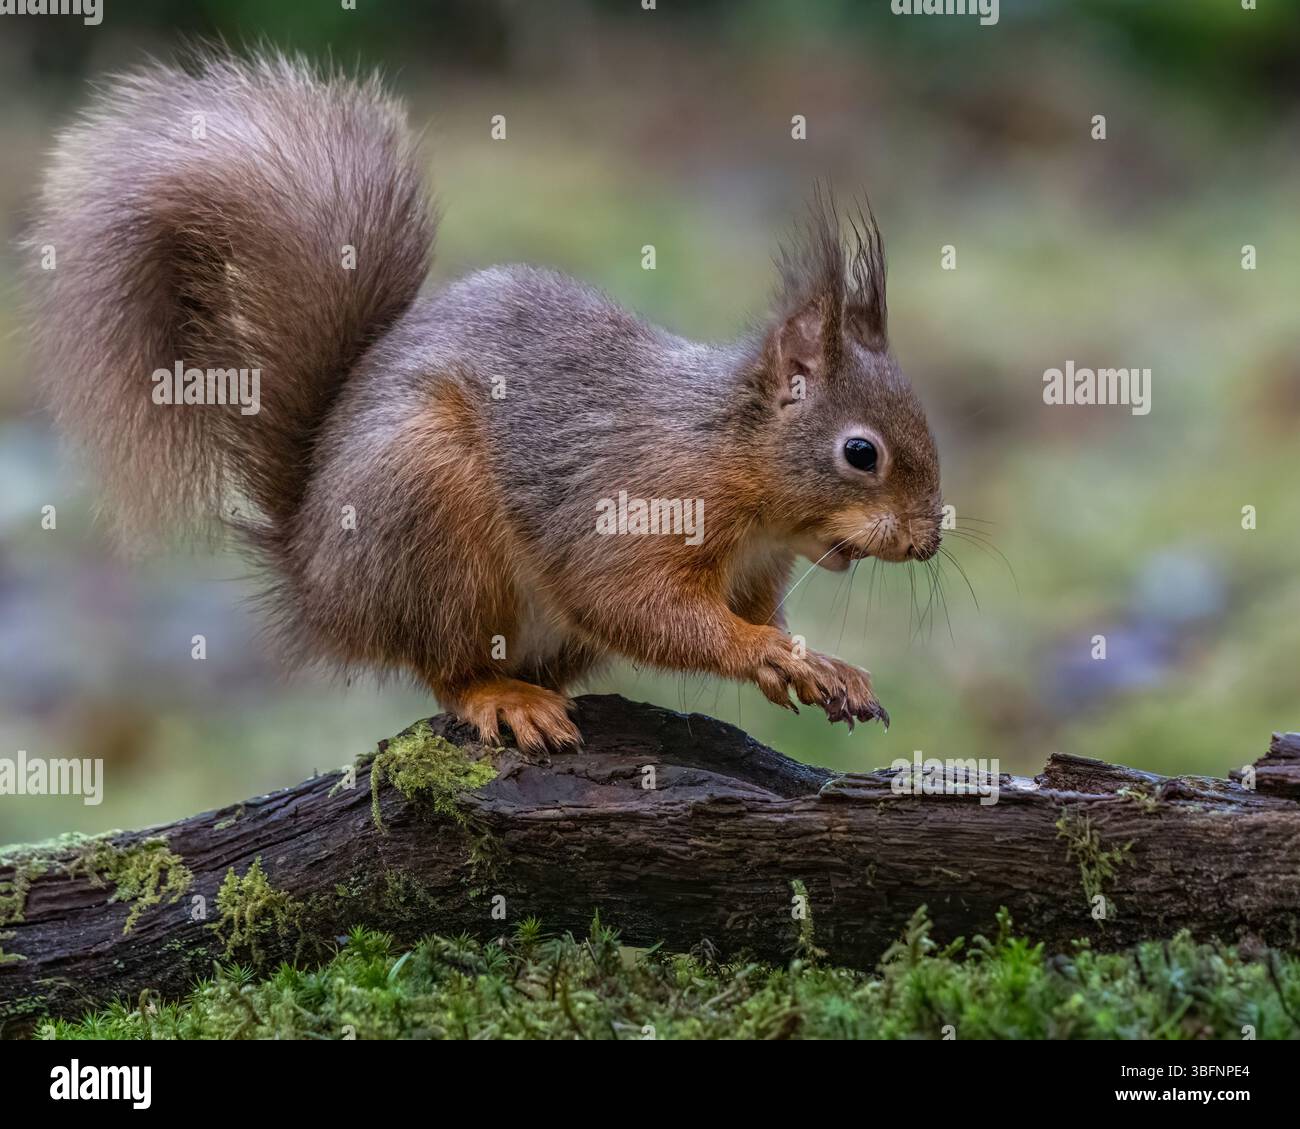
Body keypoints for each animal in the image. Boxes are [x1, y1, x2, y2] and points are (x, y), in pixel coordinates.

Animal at [26, 51, 943, 754]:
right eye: (861, 452)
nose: (929, 541)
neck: (731, 455)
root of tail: (317, 578)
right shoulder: (637, 503)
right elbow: (638, 603)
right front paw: (764, 653)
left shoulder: (755, 567)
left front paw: (820, 664)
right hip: (430, 511)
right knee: (447, 666)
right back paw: (502, 698)